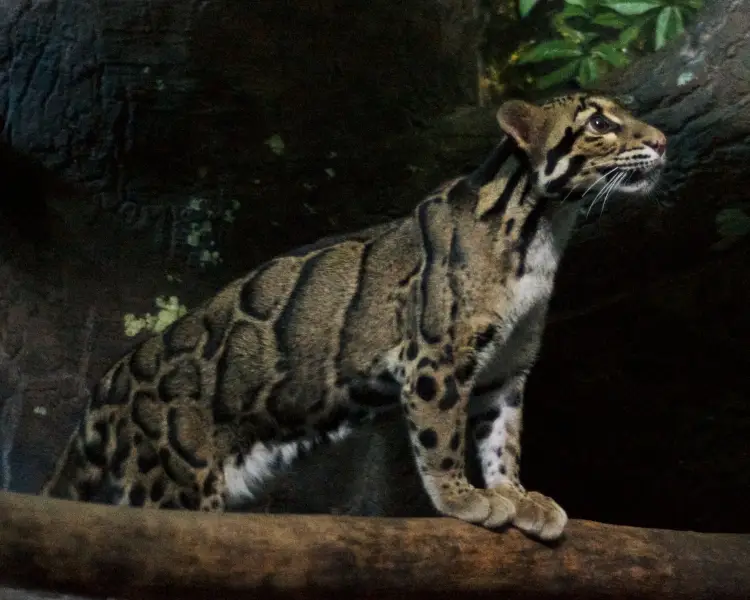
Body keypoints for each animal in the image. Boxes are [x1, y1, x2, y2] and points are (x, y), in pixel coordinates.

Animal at [42, 92, 666, 541]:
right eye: (599, 123)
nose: (661, 142)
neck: (541, 231)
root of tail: (107, 385)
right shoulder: (437, 356)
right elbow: (442, 434)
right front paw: (462, 498)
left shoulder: (505, 368)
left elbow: (500, 438)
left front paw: (515, 494)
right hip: (177, 483)